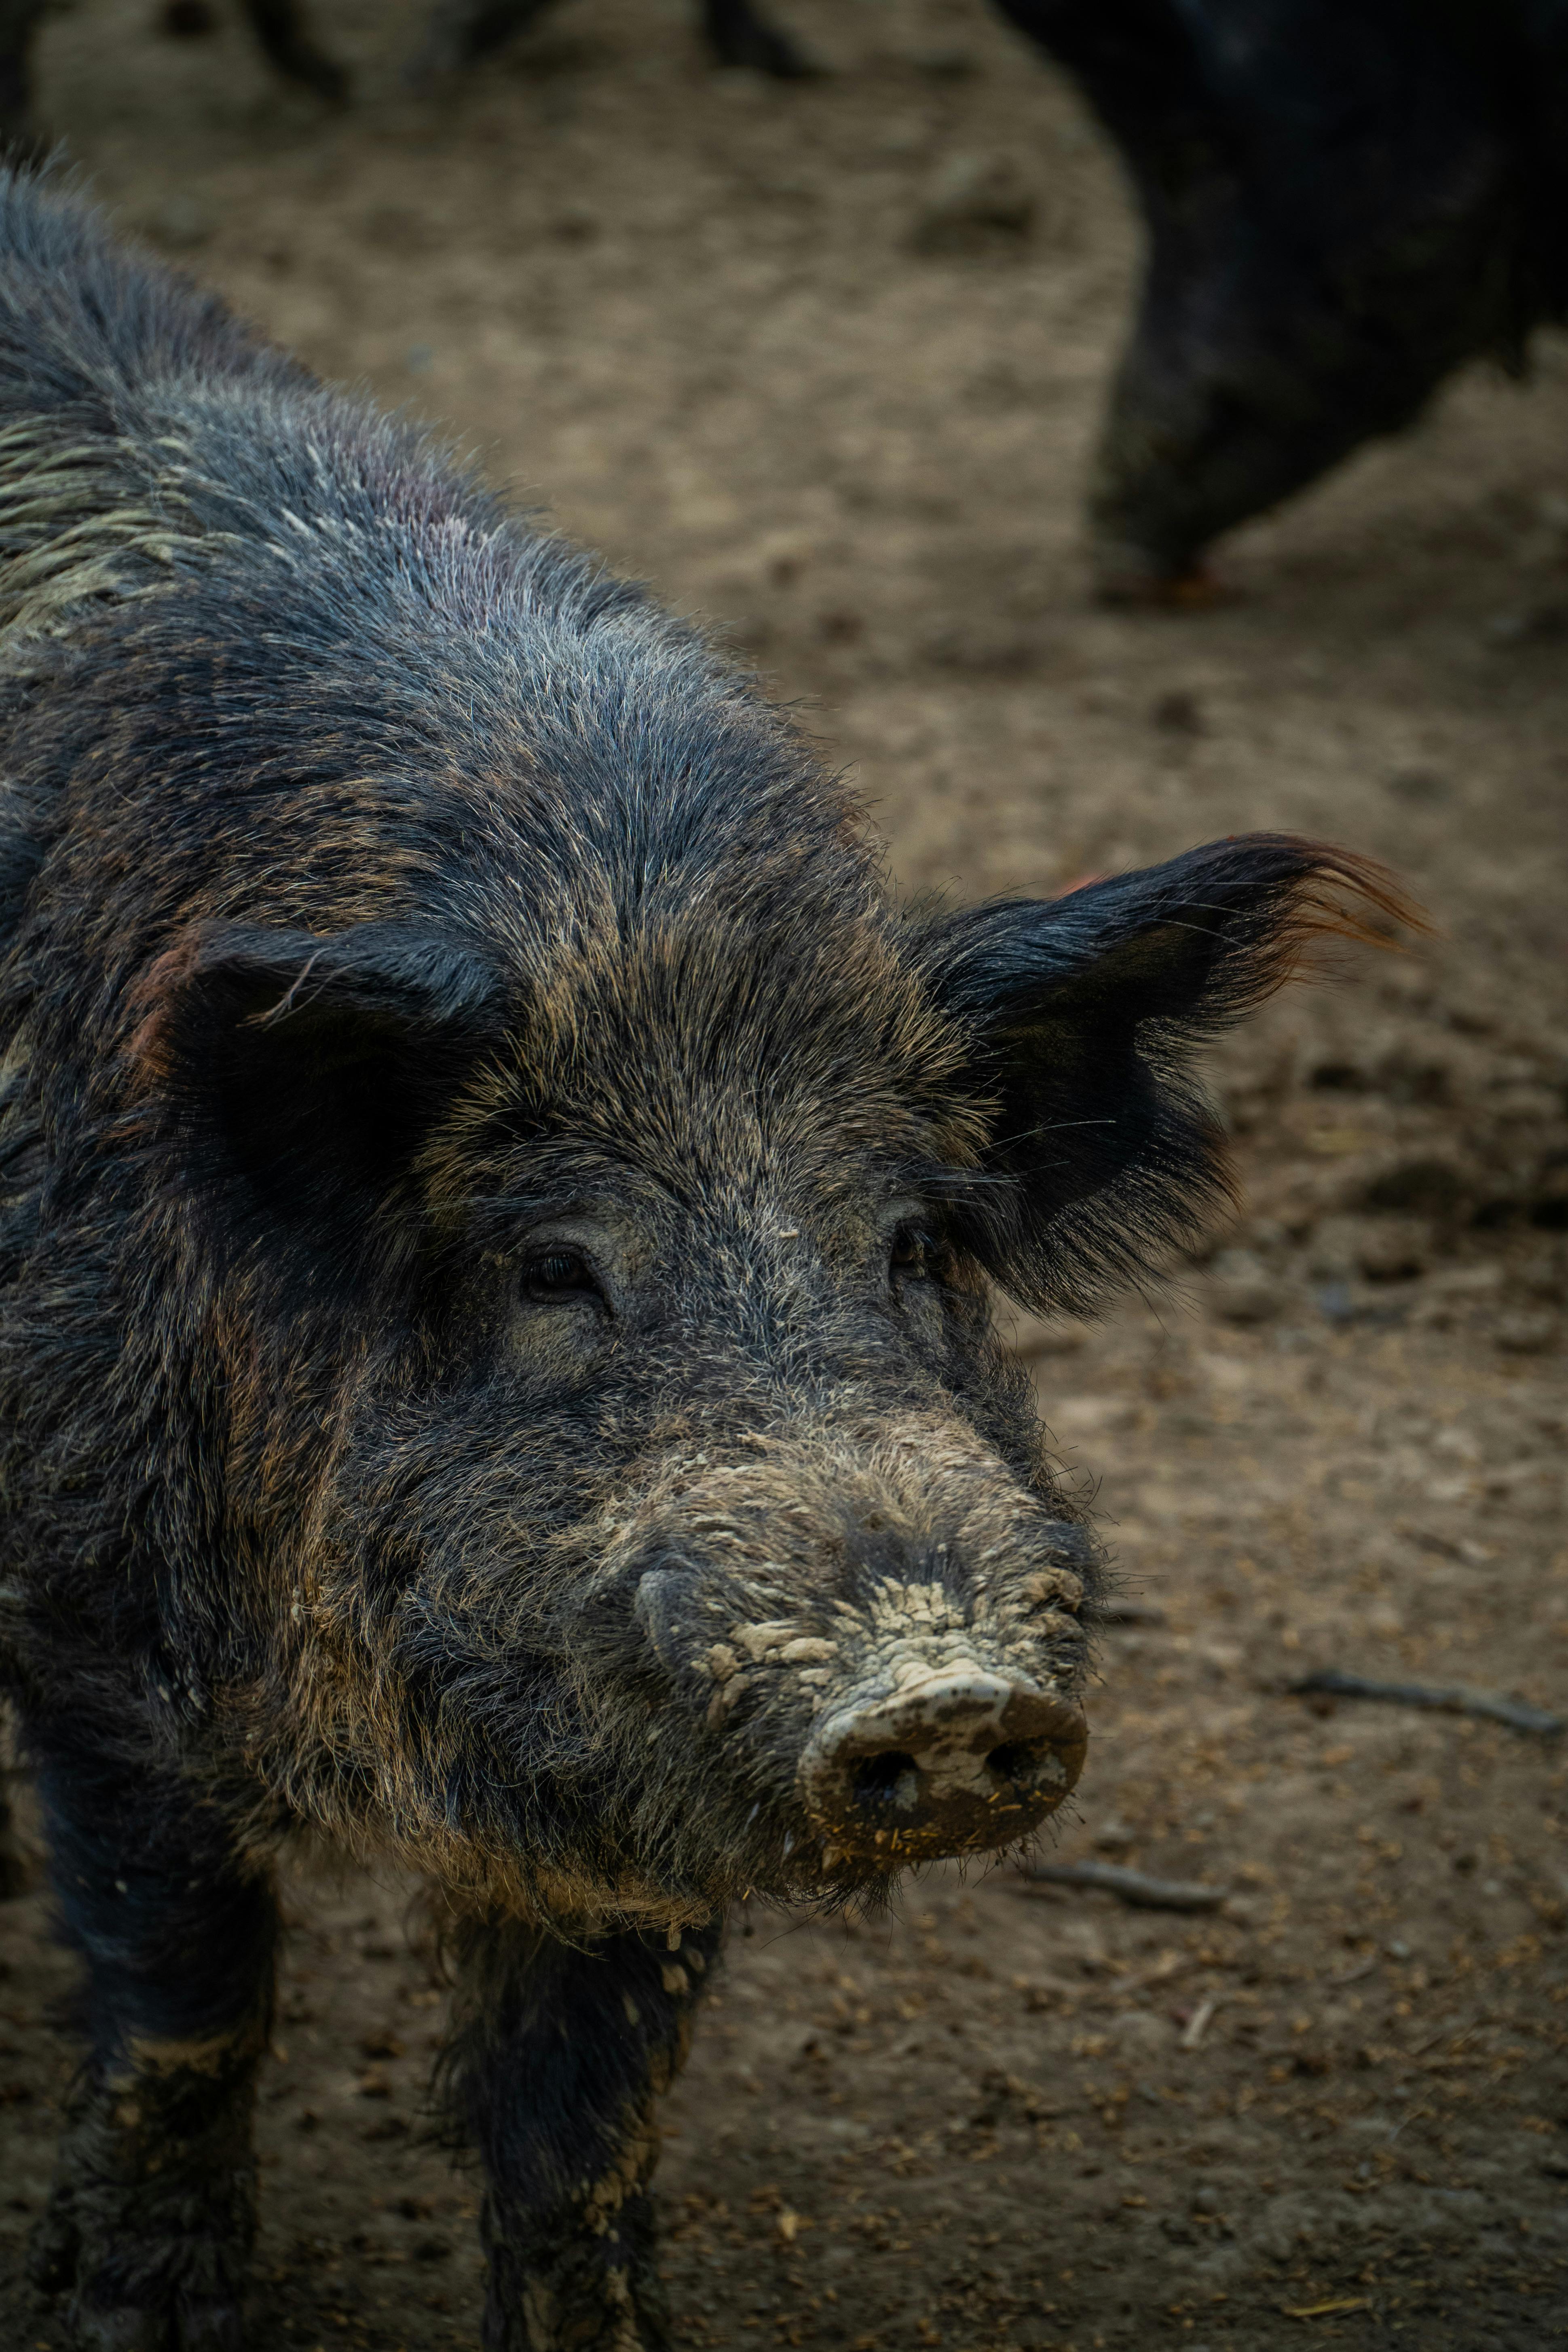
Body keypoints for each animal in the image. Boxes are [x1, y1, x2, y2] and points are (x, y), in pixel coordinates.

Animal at [0, 166, 1407, 2352]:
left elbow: (587, 2112)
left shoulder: (637, 1785)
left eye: (917, 1245)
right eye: (555, 1268)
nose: (937, 1682)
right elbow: (186, 2004)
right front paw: (136, 2318)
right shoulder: (84, 1611)